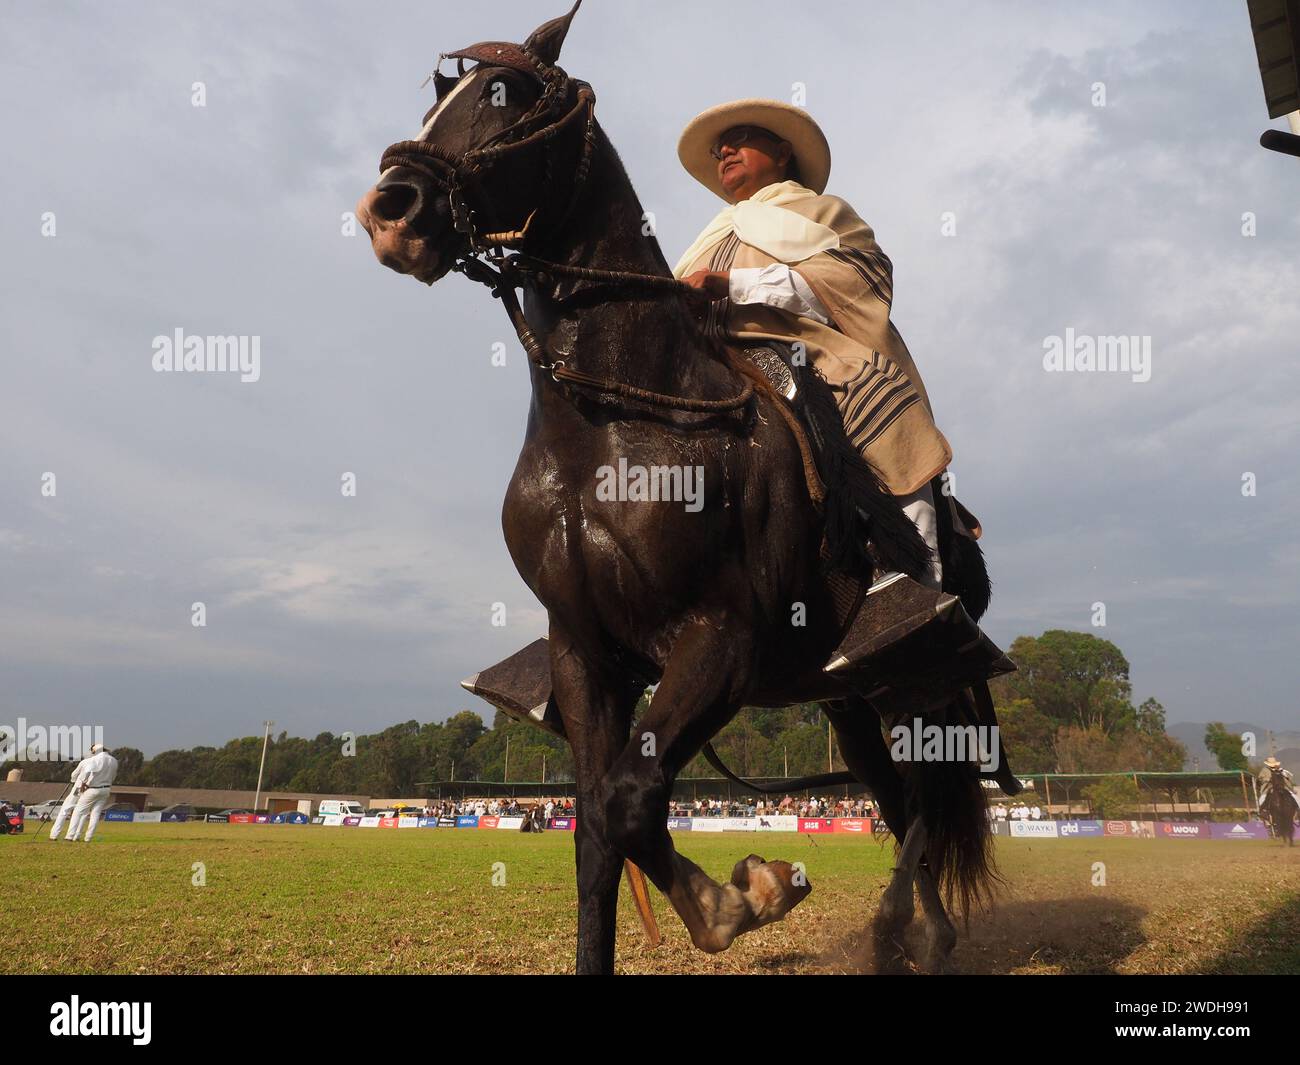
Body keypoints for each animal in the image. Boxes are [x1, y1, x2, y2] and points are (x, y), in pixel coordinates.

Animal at [356, 1, 1013, 974]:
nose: (390, 209)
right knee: (897, 802)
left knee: (924, 803)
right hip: (850, 702)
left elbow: (632, 799)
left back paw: (916, 926)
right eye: (438, 94)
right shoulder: (586, 654)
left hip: (921, 687)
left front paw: (744, 895)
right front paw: (726, 895)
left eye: (504, 91)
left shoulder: (720, 642)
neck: (612, 426)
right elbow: (600, 829)